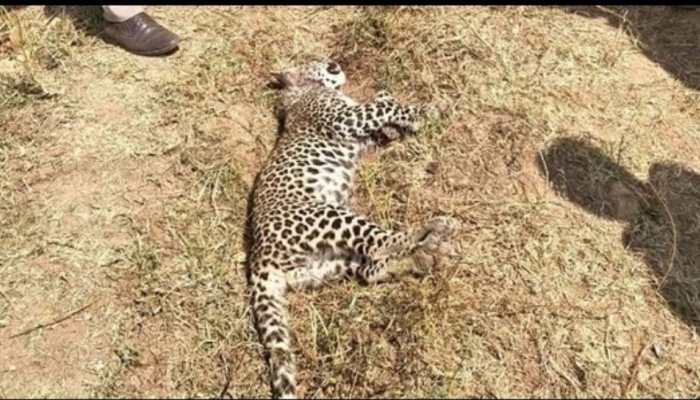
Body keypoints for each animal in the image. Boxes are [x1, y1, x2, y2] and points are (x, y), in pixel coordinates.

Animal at [246, 60, 458, 399]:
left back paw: (423, 256)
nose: (333, 61)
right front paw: (429, 109)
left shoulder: (362, 134)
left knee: (370, 268)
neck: (301, 90)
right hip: (328, 215)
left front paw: (400, 124)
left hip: (328, 263)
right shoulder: (349, 119)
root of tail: (257, 260)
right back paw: (435, 232)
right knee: (380, 243)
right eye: (314, 59)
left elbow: (385, 122)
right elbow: (384, 106)